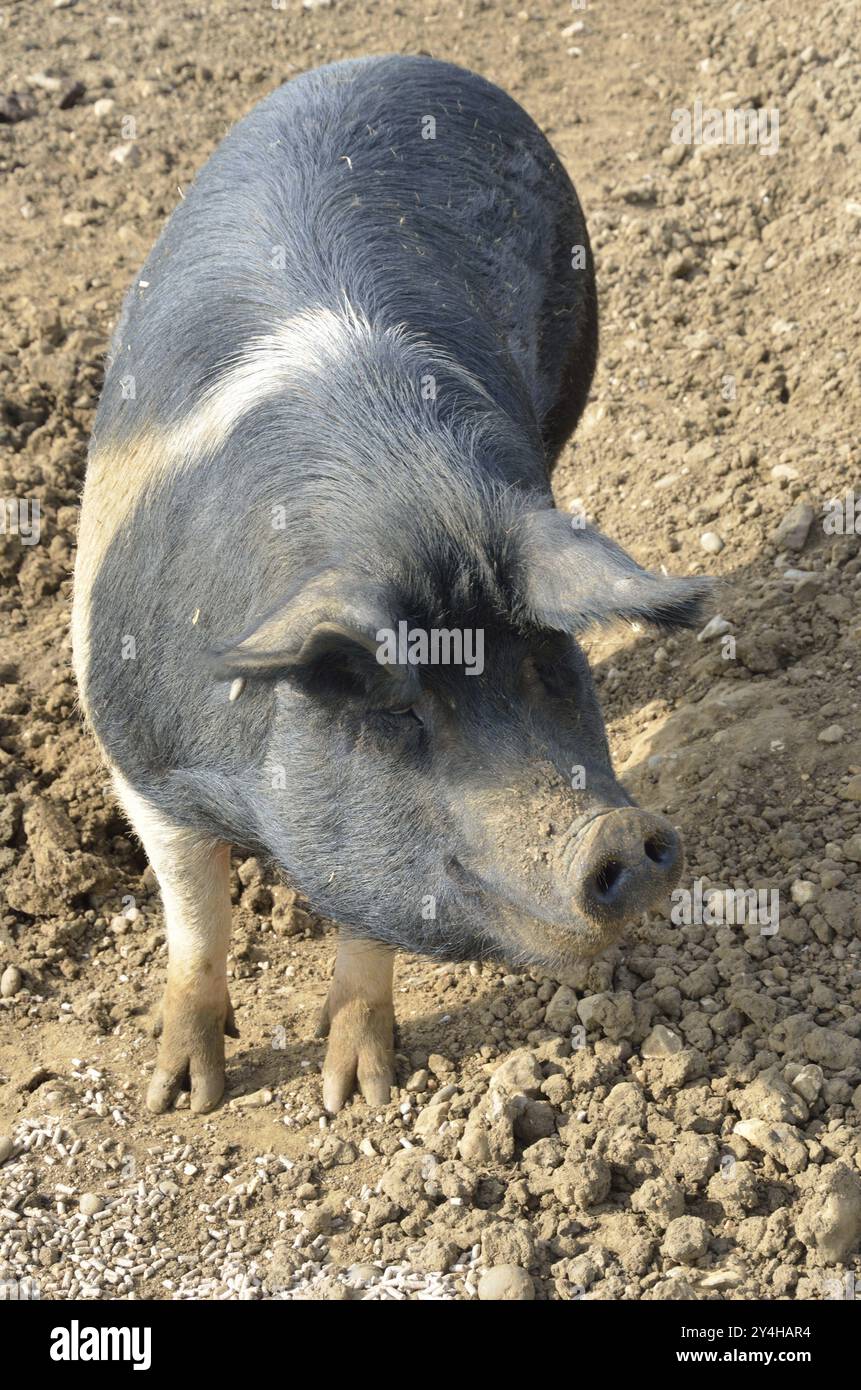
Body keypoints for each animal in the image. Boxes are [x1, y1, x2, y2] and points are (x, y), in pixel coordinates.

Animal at [72, 55, 709, 1116]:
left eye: (548, 665)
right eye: (398, 711)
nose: (617, 830)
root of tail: (406, 63)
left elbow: (366, 925)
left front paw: (355, 1094)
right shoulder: (139, 760)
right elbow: (195, 919)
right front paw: (182, 1098)